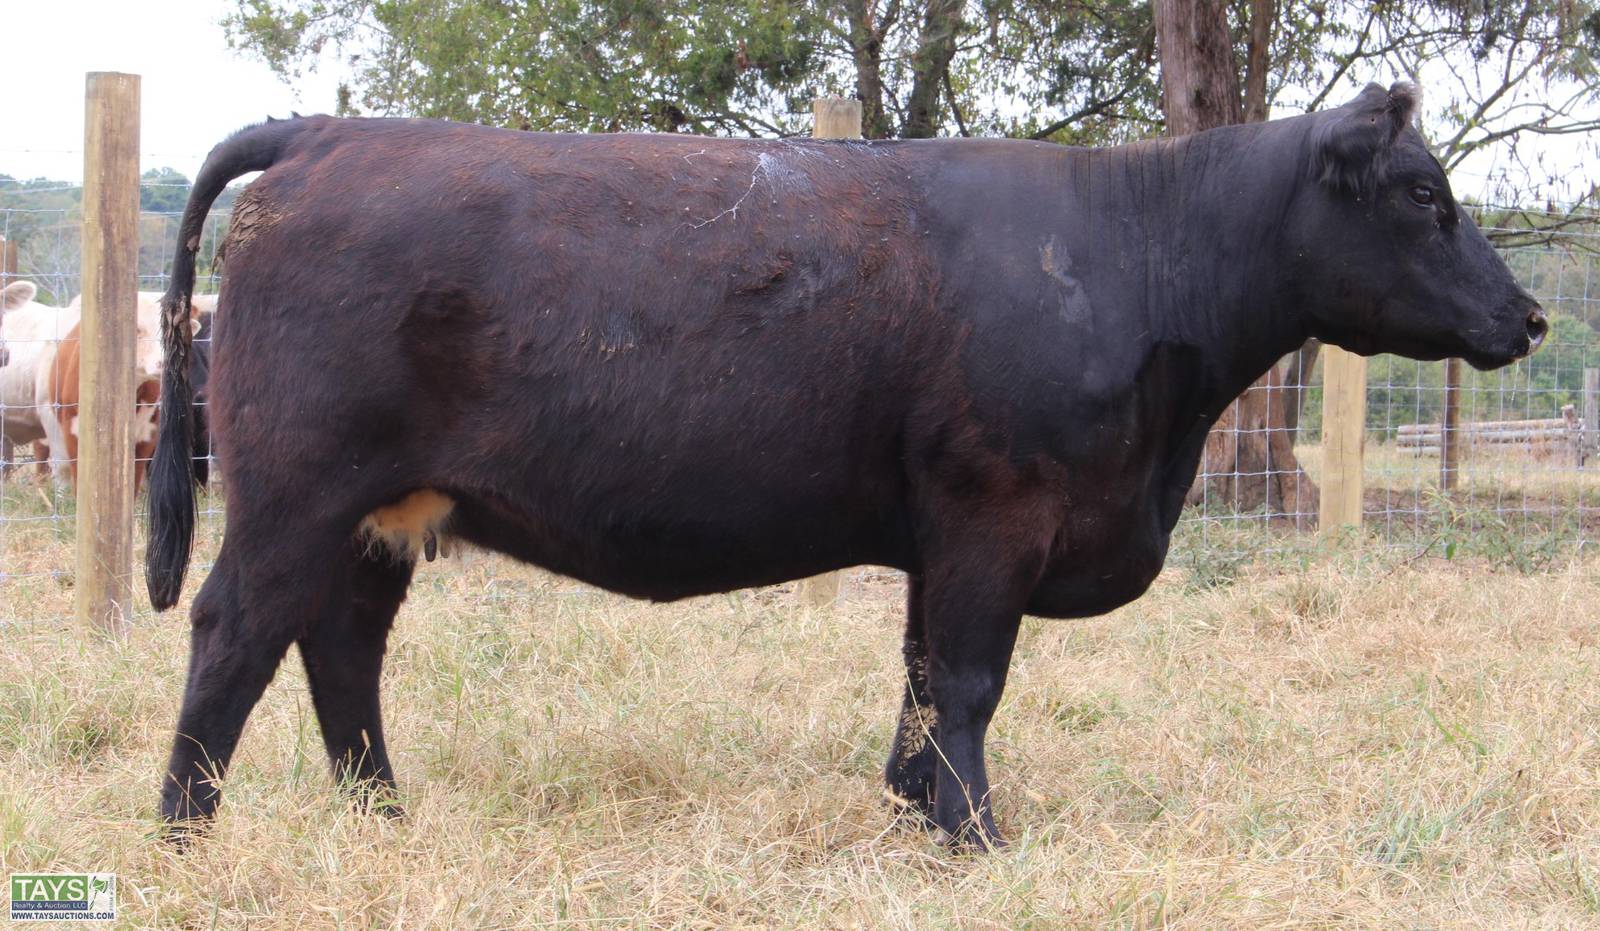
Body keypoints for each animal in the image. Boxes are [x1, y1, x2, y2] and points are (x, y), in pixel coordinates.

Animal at [145, 82, 1545, 847]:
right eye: (1425, 197)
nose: (1528, 317)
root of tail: (326, 136)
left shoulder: (940, 530)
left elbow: (924, 681)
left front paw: (914, 813)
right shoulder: (993, 510)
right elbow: (969, 681)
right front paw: (979, 838)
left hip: (379, 512)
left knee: (340, 647)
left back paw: (381, 819)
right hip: (296, 489)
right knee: (236, 631)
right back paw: (184, 836)